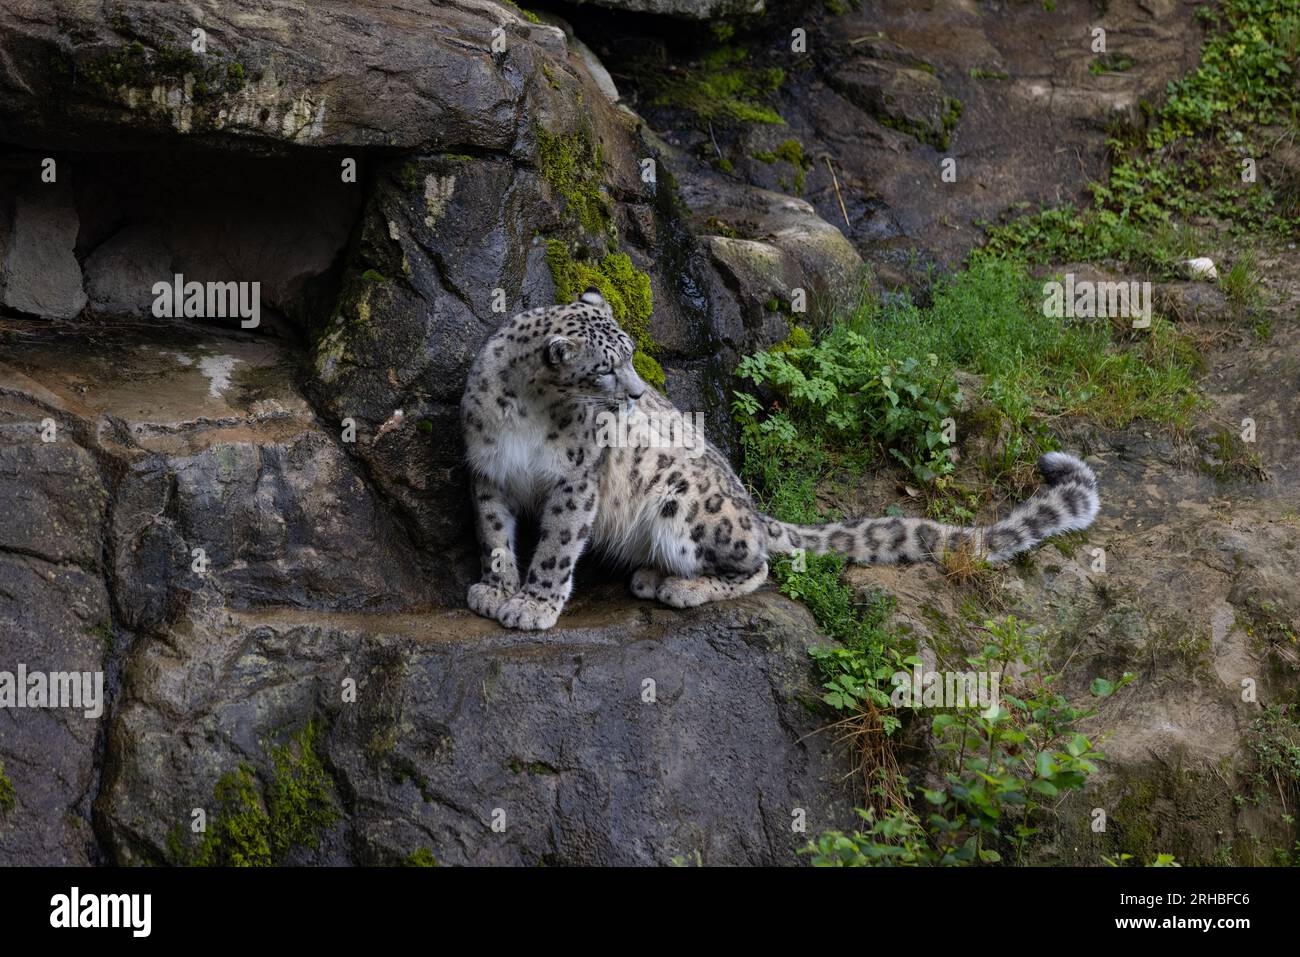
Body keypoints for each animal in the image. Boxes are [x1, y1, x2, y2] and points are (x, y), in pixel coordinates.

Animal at [460, 288, 1100, 631]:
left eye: (632, 354)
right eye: (604, 367)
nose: (638, 394)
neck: (529, 410)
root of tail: (752, 506)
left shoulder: (576, 479)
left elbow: (557, 543)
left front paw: (533, 605)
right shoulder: (487, 471)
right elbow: (493, 532)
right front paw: (495, 589)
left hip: (686, 508)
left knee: (759, 563)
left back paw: (677, 586)